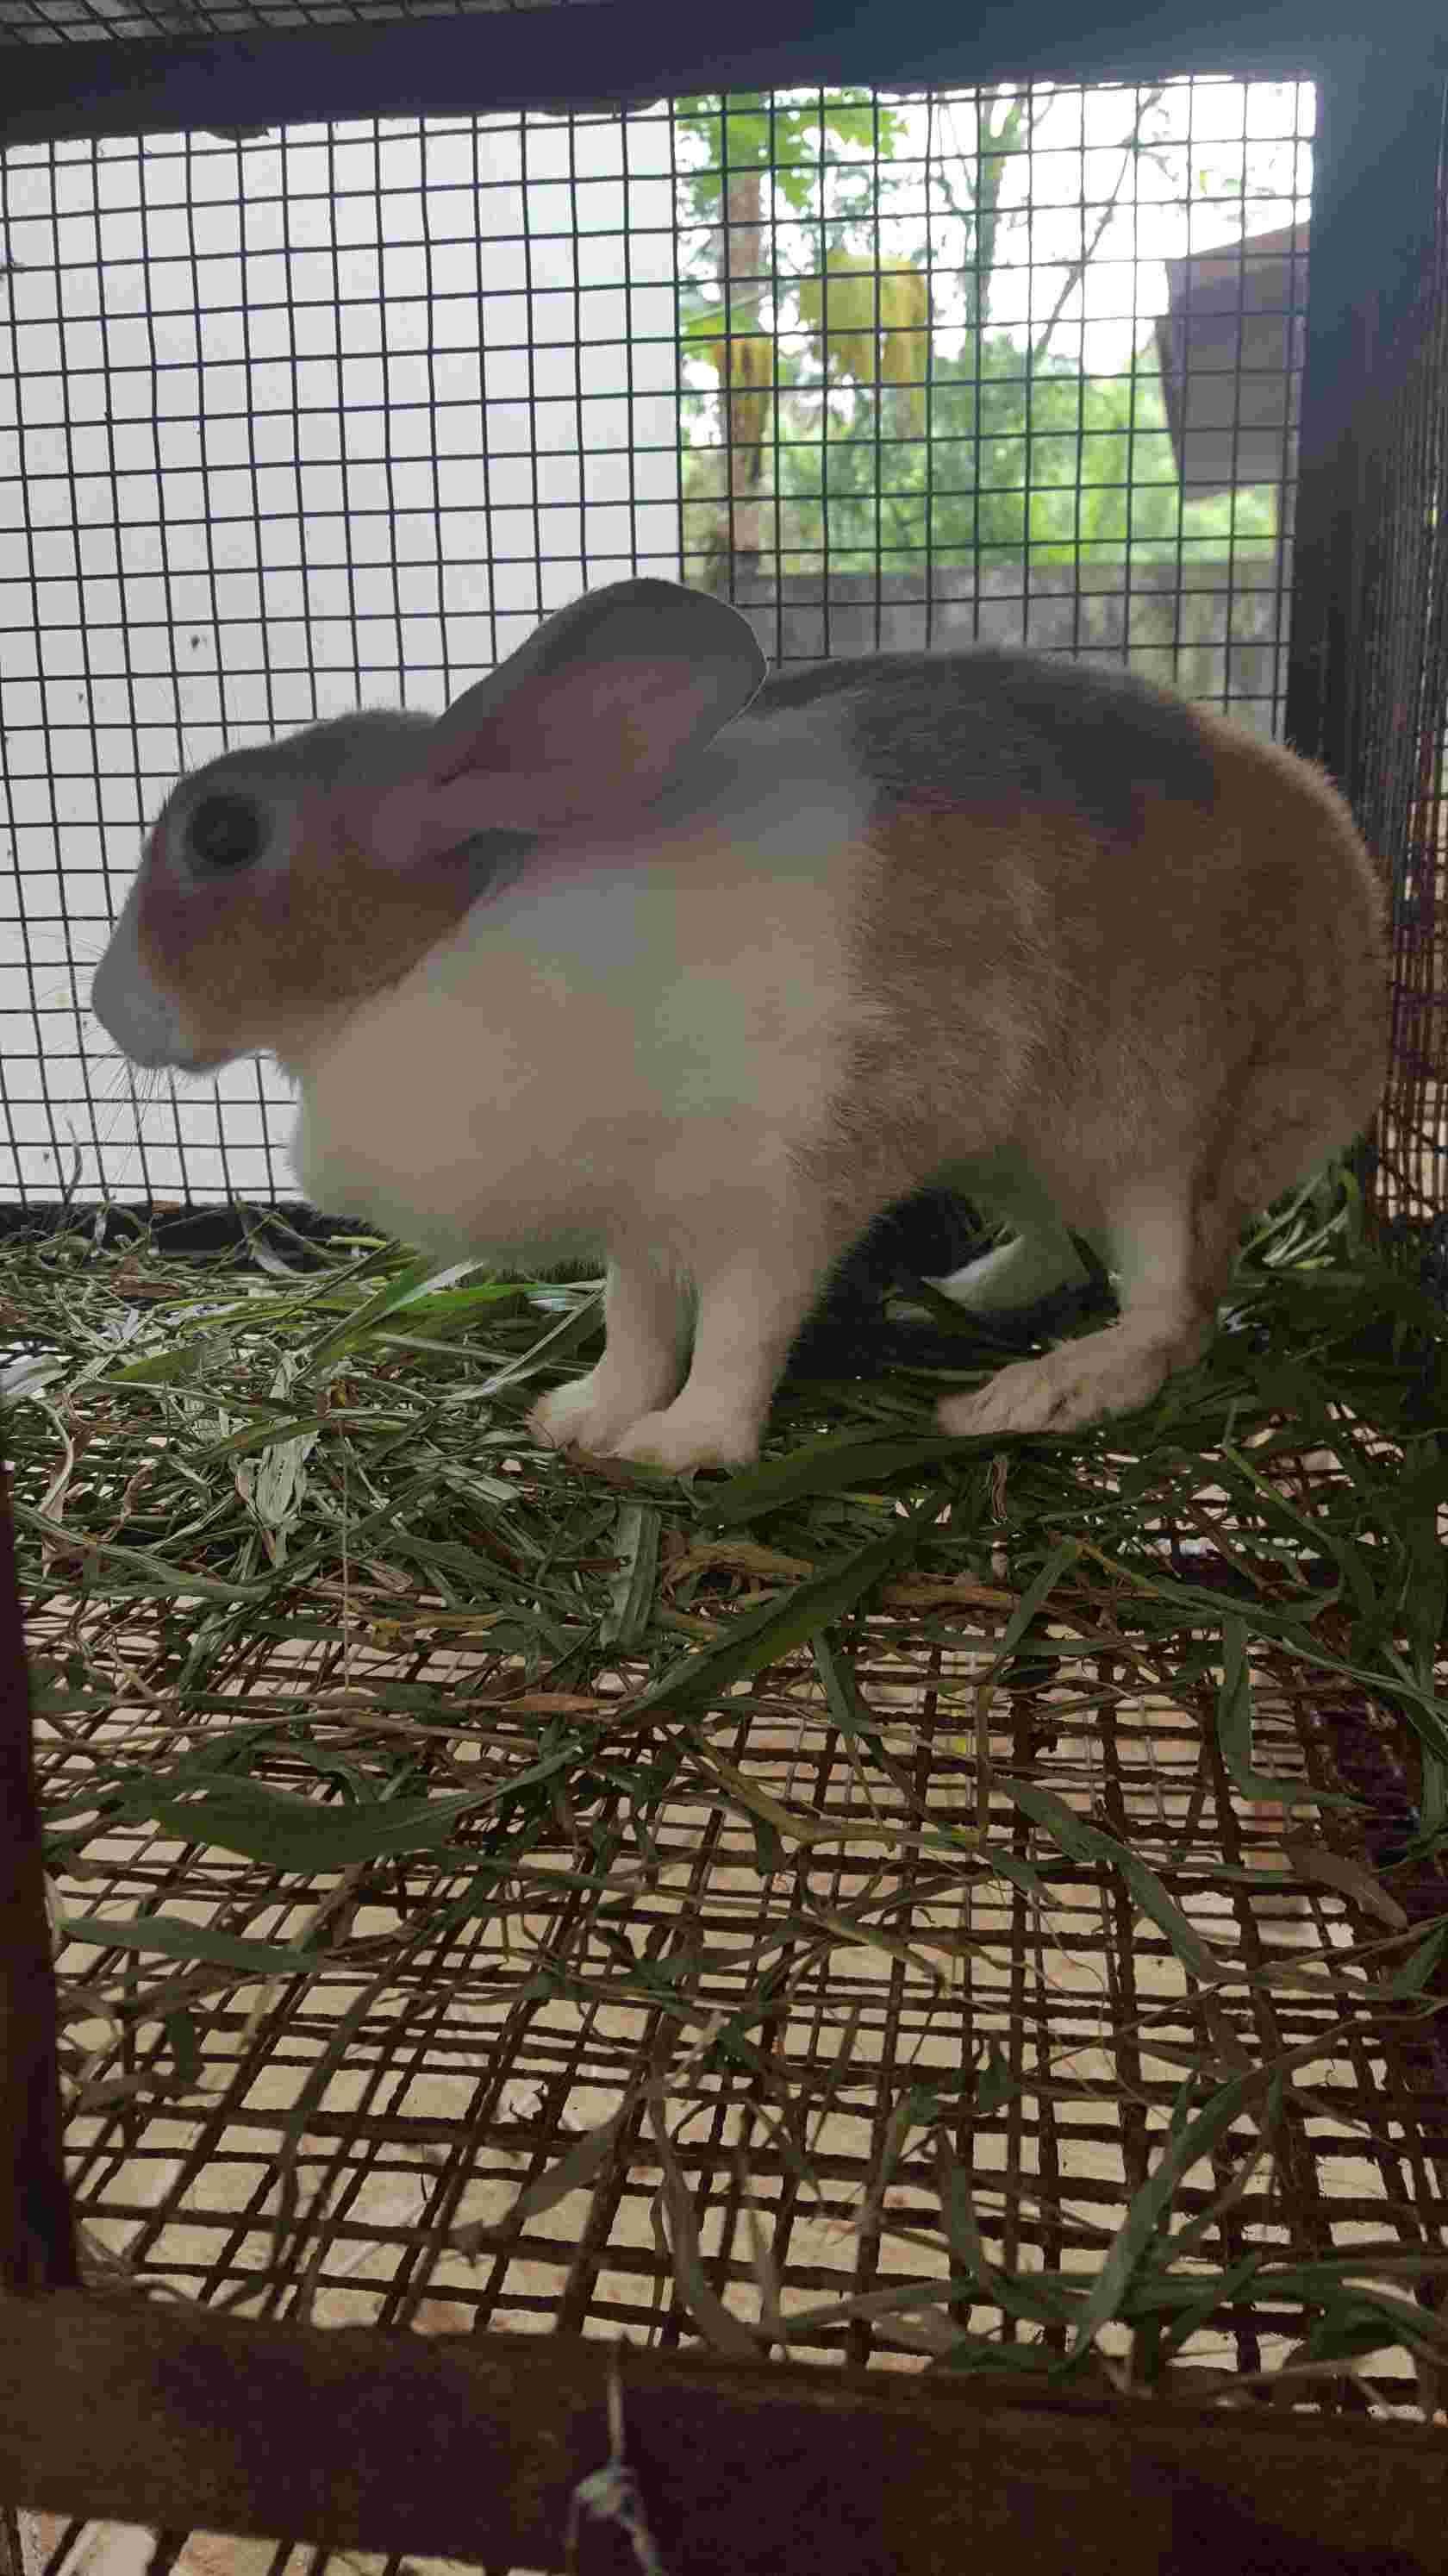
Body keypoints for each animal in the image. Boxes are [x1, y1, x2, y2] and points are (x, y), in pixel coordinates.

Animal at [91, 576, 1389, 1476]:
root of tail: (1365, 953)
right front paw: (584, 1416)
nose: (107, 1011)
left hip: (1160, 1137)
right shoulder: (642, 1223)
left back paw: (1029, 1395)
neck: (443, 947)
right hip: (1015, 1152)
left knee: (1175, 1305)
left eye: (222, 834)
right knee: (1056, 1249)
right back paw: (951, 1302)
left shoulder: (782, 1201)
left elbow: (738, 1335)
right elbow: (637, 1324)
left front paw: (683, 1445)